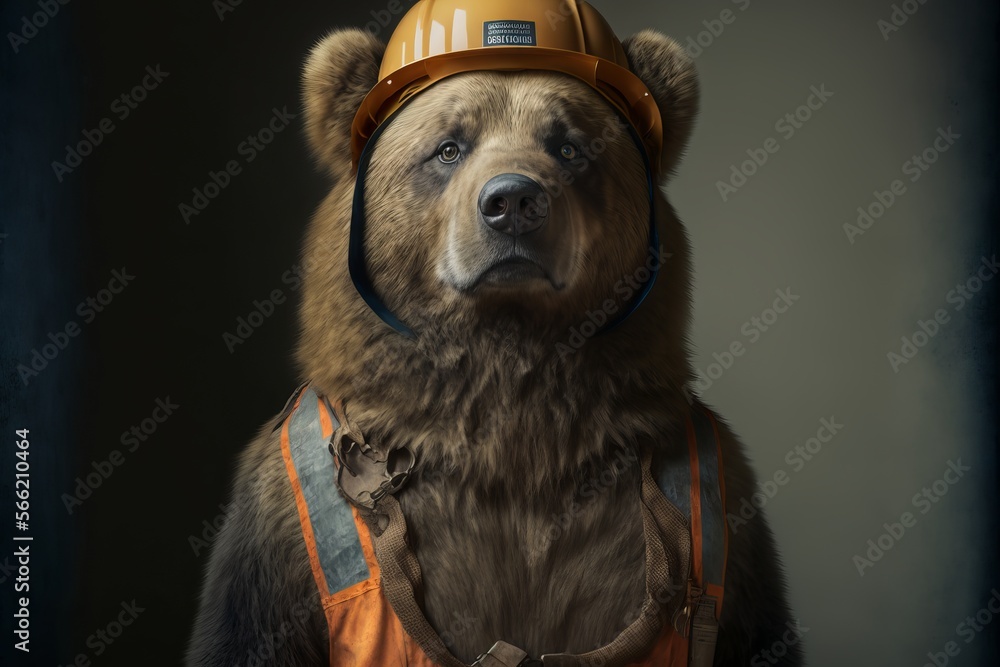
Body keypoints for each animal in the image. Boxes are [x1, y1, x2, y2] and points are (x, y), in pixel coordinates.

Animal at [187, 18, 803, 667]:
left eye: (569, 146)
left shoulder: (724, 515)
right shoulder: (278, 530)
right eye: (448, 147)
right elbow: (246, 632)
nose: (512, 203)